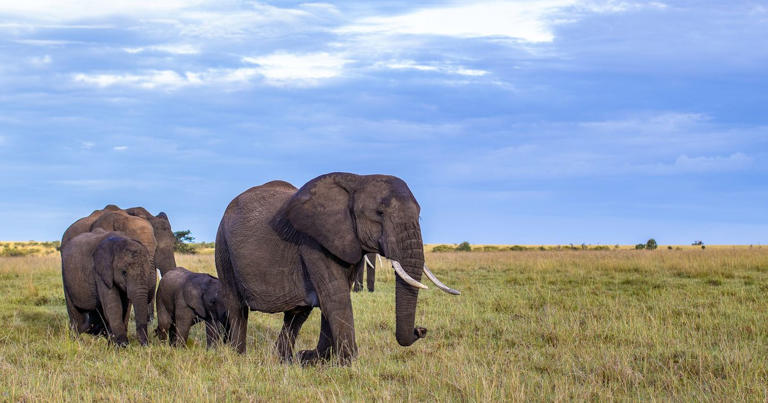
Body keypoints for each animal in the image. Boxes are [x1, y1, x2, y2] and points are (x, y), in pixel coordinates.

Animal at [215, 172, 459, 364]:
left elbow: (331, 298)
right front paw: (346, 362)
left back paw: (284, 360)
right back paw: (239, 356)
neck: (358, 181)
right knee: (237, 305)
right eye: (380, 213)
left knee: (296, 315)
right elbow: (335, 295)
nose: (421, 330)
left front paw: (315, 358)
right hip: (223, 247)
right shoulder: (314, 242)